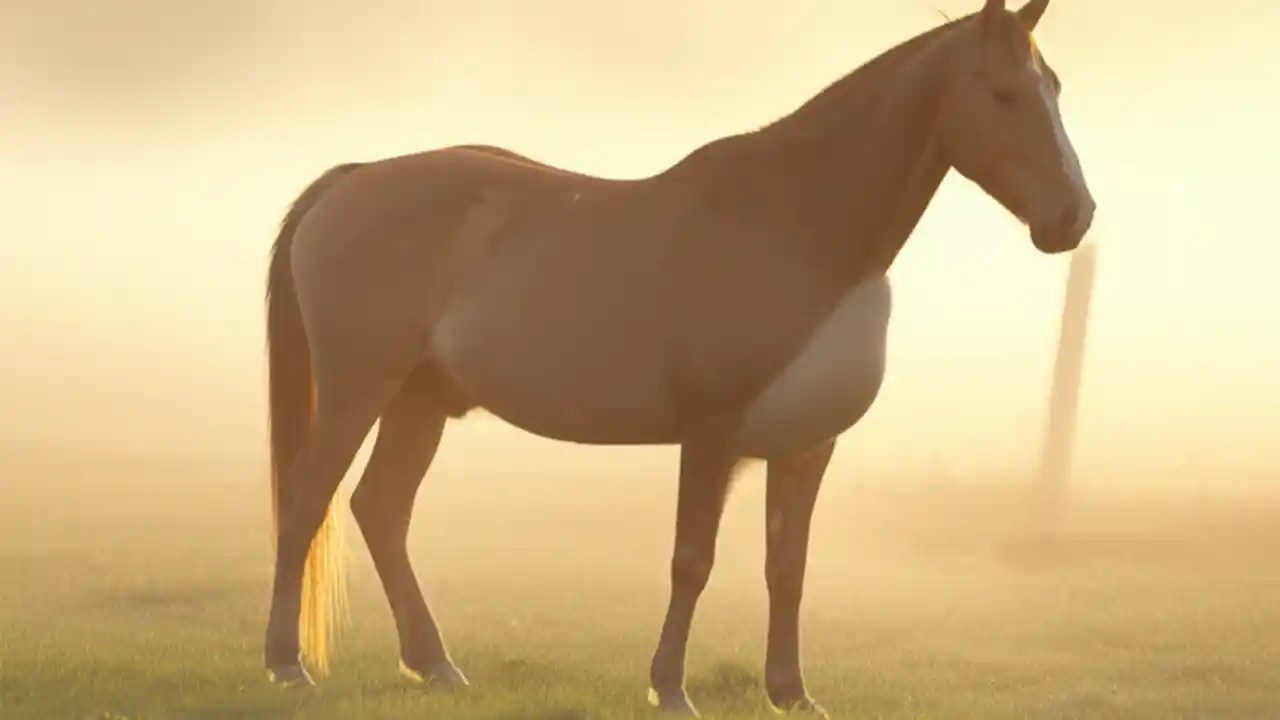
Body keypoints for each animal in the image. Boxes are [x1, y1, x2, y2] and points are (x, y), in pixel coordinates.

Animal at [261, 0, 1095, 715]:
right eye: (1003, 93)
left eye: (1054, 88)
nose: (1073, 216)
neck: (795, 228)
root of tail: (350, 181)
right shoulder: (711, 436)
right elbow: (693, 559)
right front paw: (669, 688)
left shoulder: (807, 449)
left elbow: (787, 569)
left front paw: (791, 692)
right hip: (356, 392)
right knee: (306, 503)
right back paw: (287, 665)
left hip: (420, 399)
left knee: (381, 510)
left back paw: (435, 664)